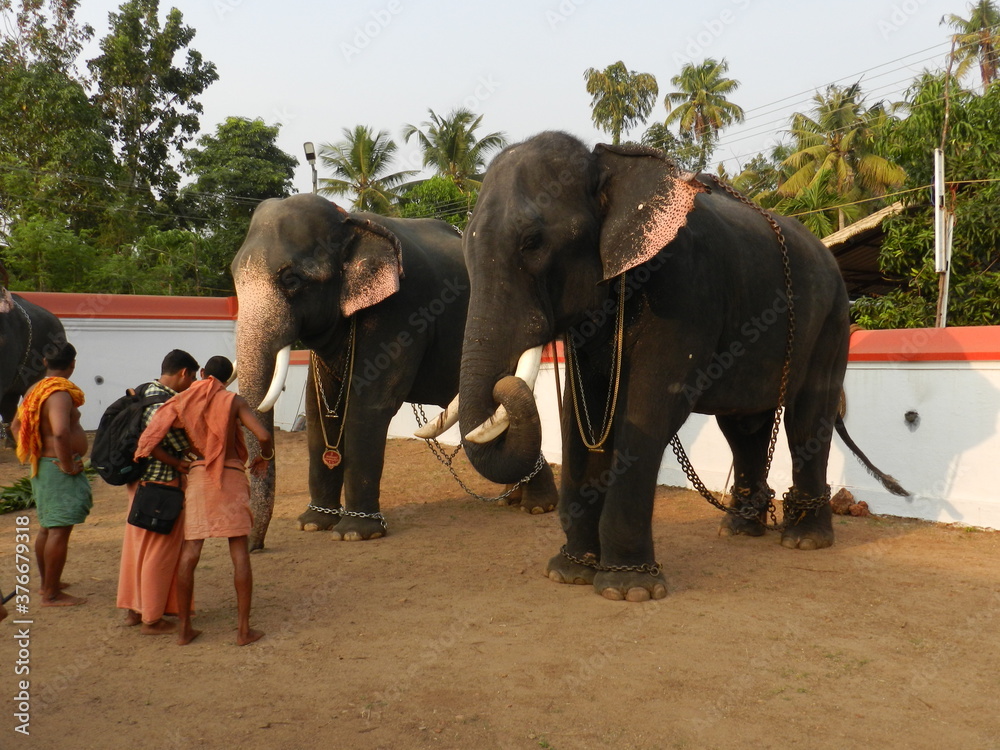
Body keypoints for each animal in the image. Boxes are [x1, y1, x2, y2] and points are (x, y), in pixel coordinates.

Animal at [231, 193, 558, 550]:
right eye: (233, 277)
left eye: (291, 280)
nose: (256, 546)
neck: (350, 223)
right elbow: (319, 410)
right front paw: (312, 524)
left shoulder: (400, 310)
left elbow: (368, 404)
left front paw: (355, 533)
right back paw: (512, 499)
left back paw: (538, 506)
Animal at [456, 131, 907, 601]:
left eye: (533, 242)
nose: (502, 385)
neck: (609, 165)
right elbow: (578, 416)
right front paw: (569, 573)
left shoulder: (685, 292)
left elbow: (649, 408)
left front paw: (627, 589)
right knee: (744, 425)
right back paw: (739, 529)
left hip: (832, 319)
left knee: (807, 414)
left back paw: (804, 540)